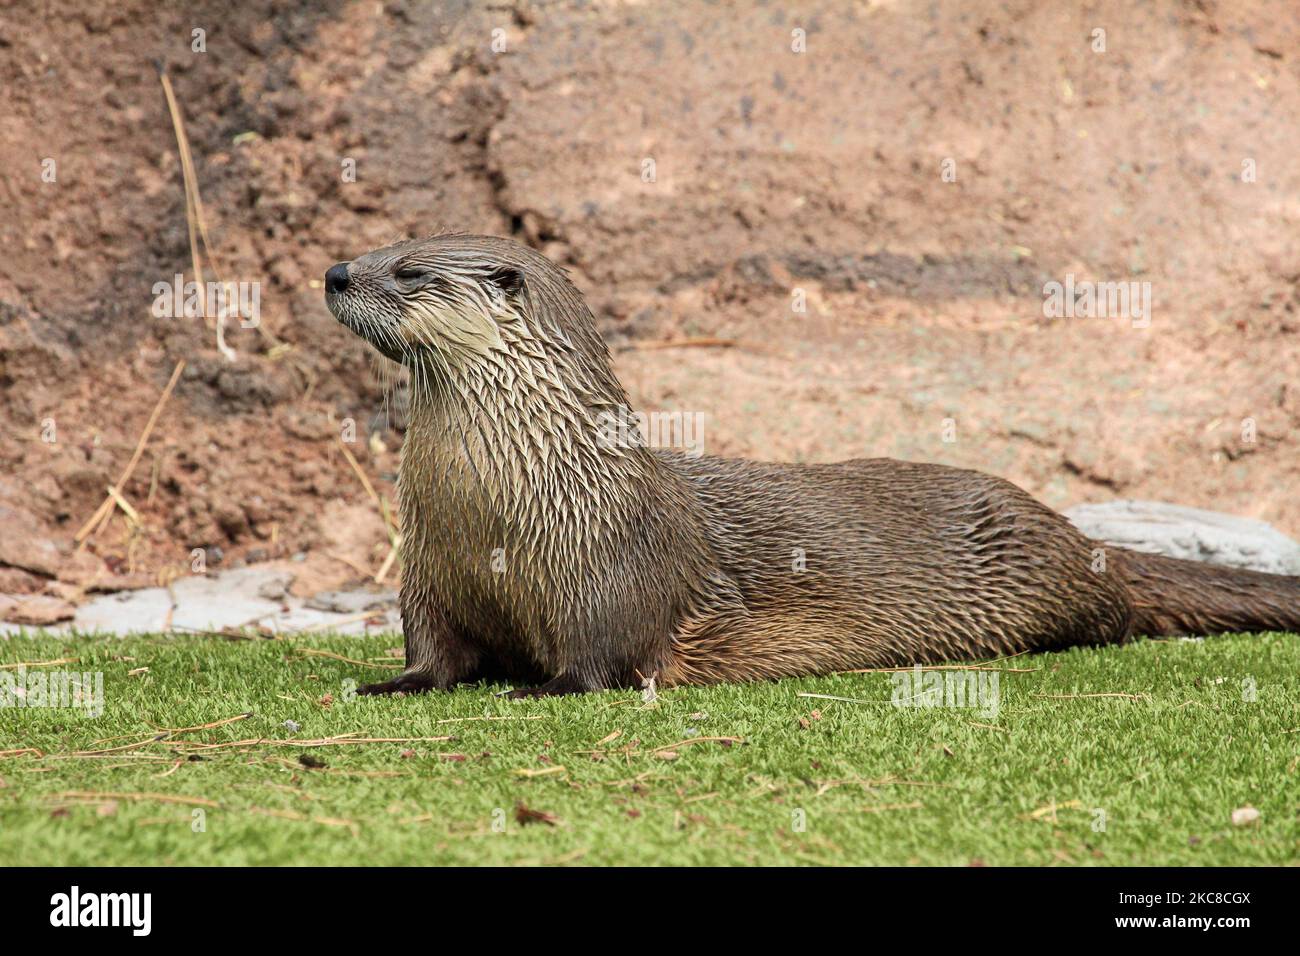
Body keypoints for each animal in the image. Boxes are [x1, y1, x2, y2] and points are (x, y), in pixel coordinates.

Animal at [323, 234, 1300, 697]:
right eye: (382, 247)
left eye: (408, 269)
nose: (335, 272)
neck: (505, 497)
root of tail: (1072, 533)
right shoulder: (432, 573)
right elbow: (434, 650)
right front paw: (393, 683)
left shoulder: (607, 572)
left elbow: (600, 656)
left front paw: (544, 687)